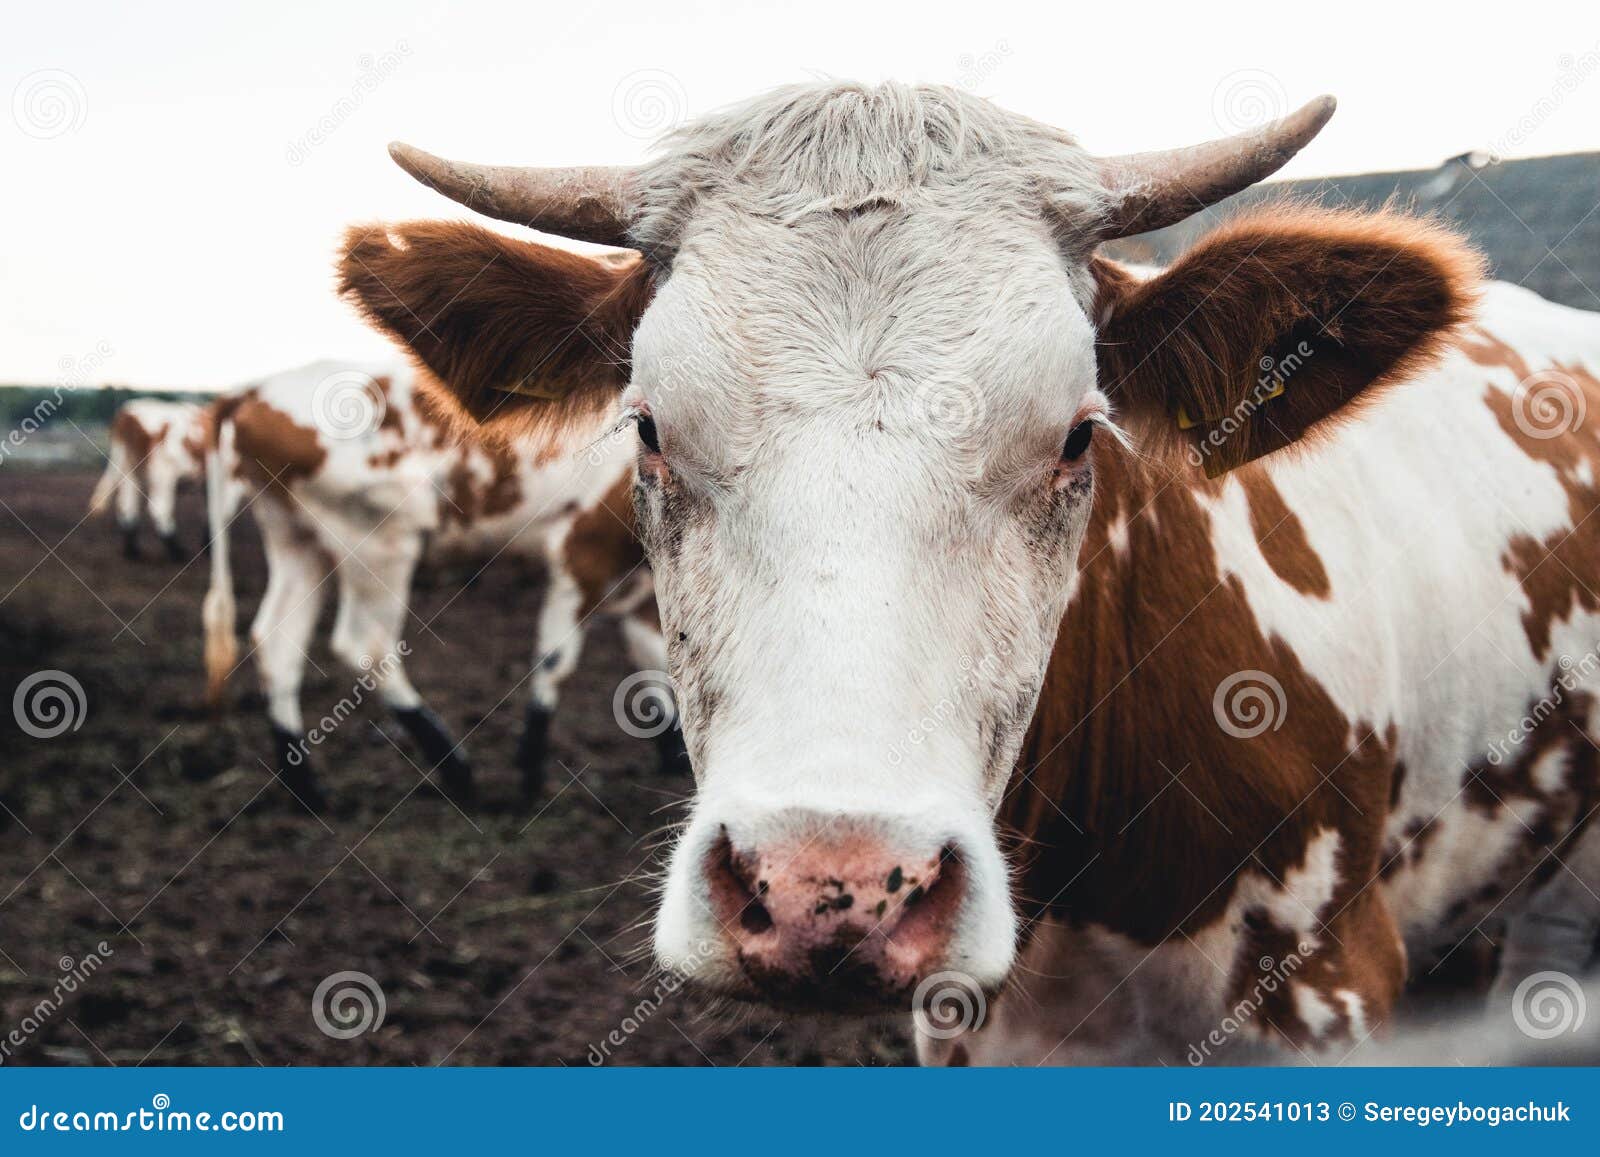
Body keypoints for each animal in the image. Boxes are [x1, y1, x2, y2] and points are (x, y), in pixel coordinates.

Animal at [89, 398, 207, 560]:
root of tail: (128, 413)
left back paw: (132, 551)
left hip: (130, 470)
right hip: (164, 475)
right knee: (159, 507)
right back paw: (176, 552)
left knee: (128, 504)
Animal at [201, 358, 683, 812]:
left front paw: (675, 751)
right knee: (364, 644)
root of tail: (252, 390)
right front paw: (530, 772)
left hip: (297, 539)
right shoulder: (581, 553)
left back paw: (308, 788)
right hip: (379, 541)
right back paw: (454, 766)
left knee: (277, 643)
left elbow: (656, 658)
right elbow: (556, 661)